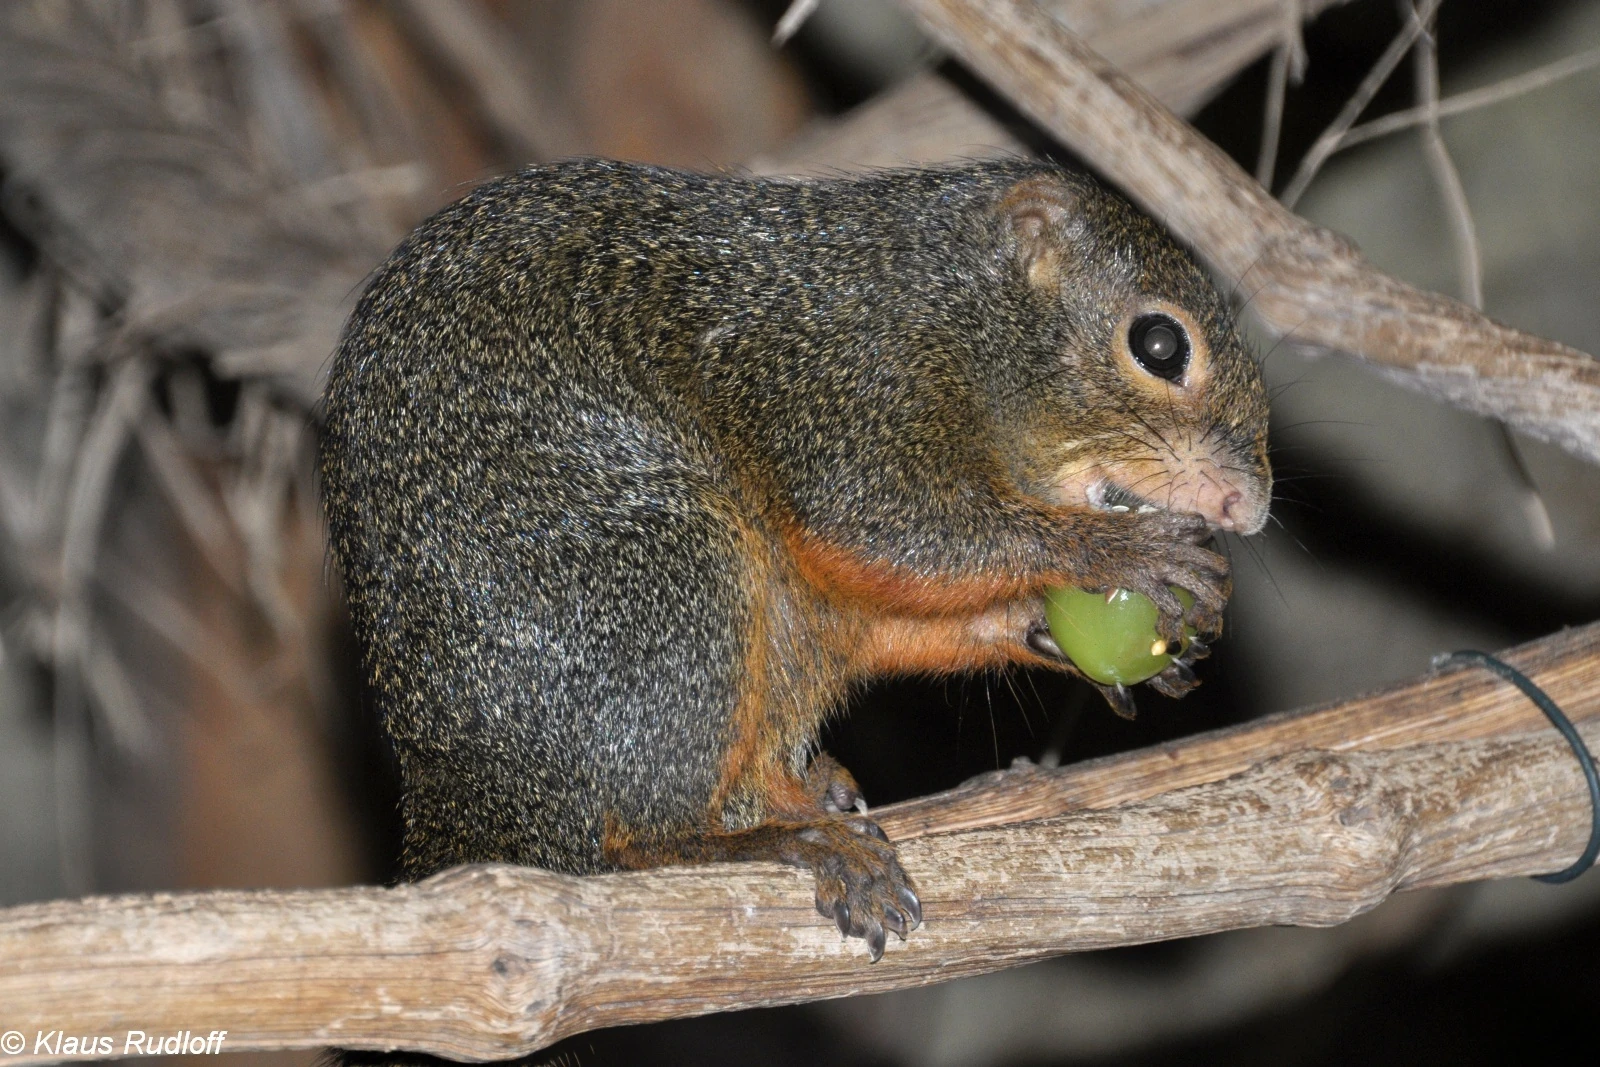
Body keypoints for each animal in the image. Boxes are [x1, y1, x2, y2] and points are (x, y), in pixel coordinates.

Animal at [318, 158, 1272, 961]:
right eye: (1159, 345)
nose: (1249, 505)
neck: (964, 315)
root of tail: (469, 804)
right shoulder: (846, 380)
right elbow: (882, 523)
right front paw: (1123, 550)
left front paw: (1067, 630)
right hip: (658, 577)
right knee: (617, 843)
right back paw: (773, 840)